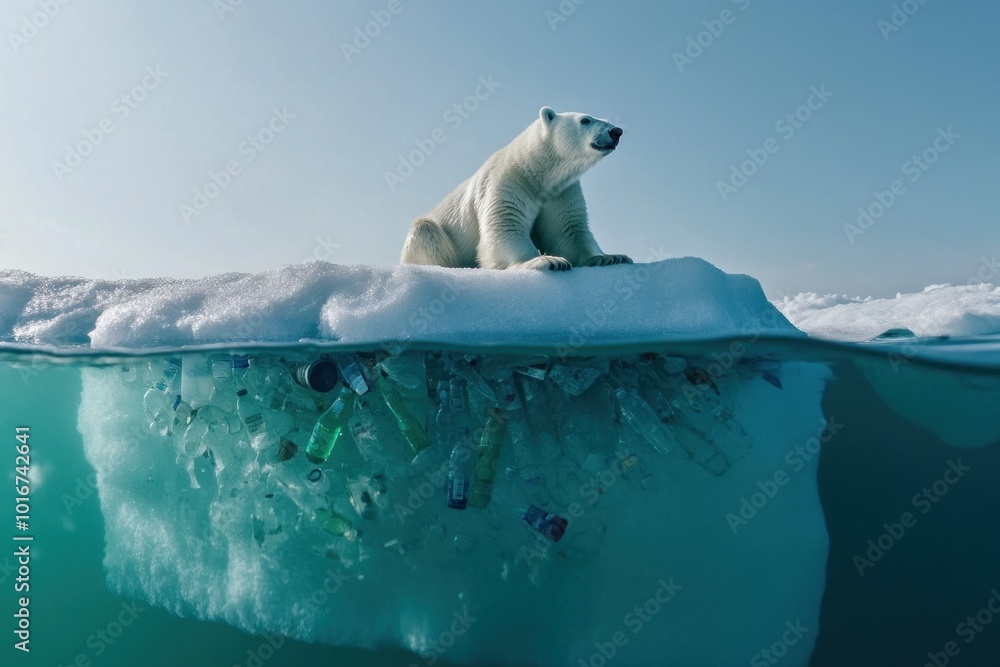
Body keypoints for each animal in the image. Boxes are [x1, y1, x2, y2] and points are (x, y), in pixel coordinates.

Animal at [400, 106, 632, 271]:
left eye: (602, 119)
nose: (616, 131)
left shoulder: (560, 192)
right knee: (425, 229)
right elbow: (505, 225)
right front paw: (548, 261)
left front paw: (611, 257)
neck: (534, 170)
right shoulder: (507, 183)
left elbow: (567, 230)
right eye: (585, 120)